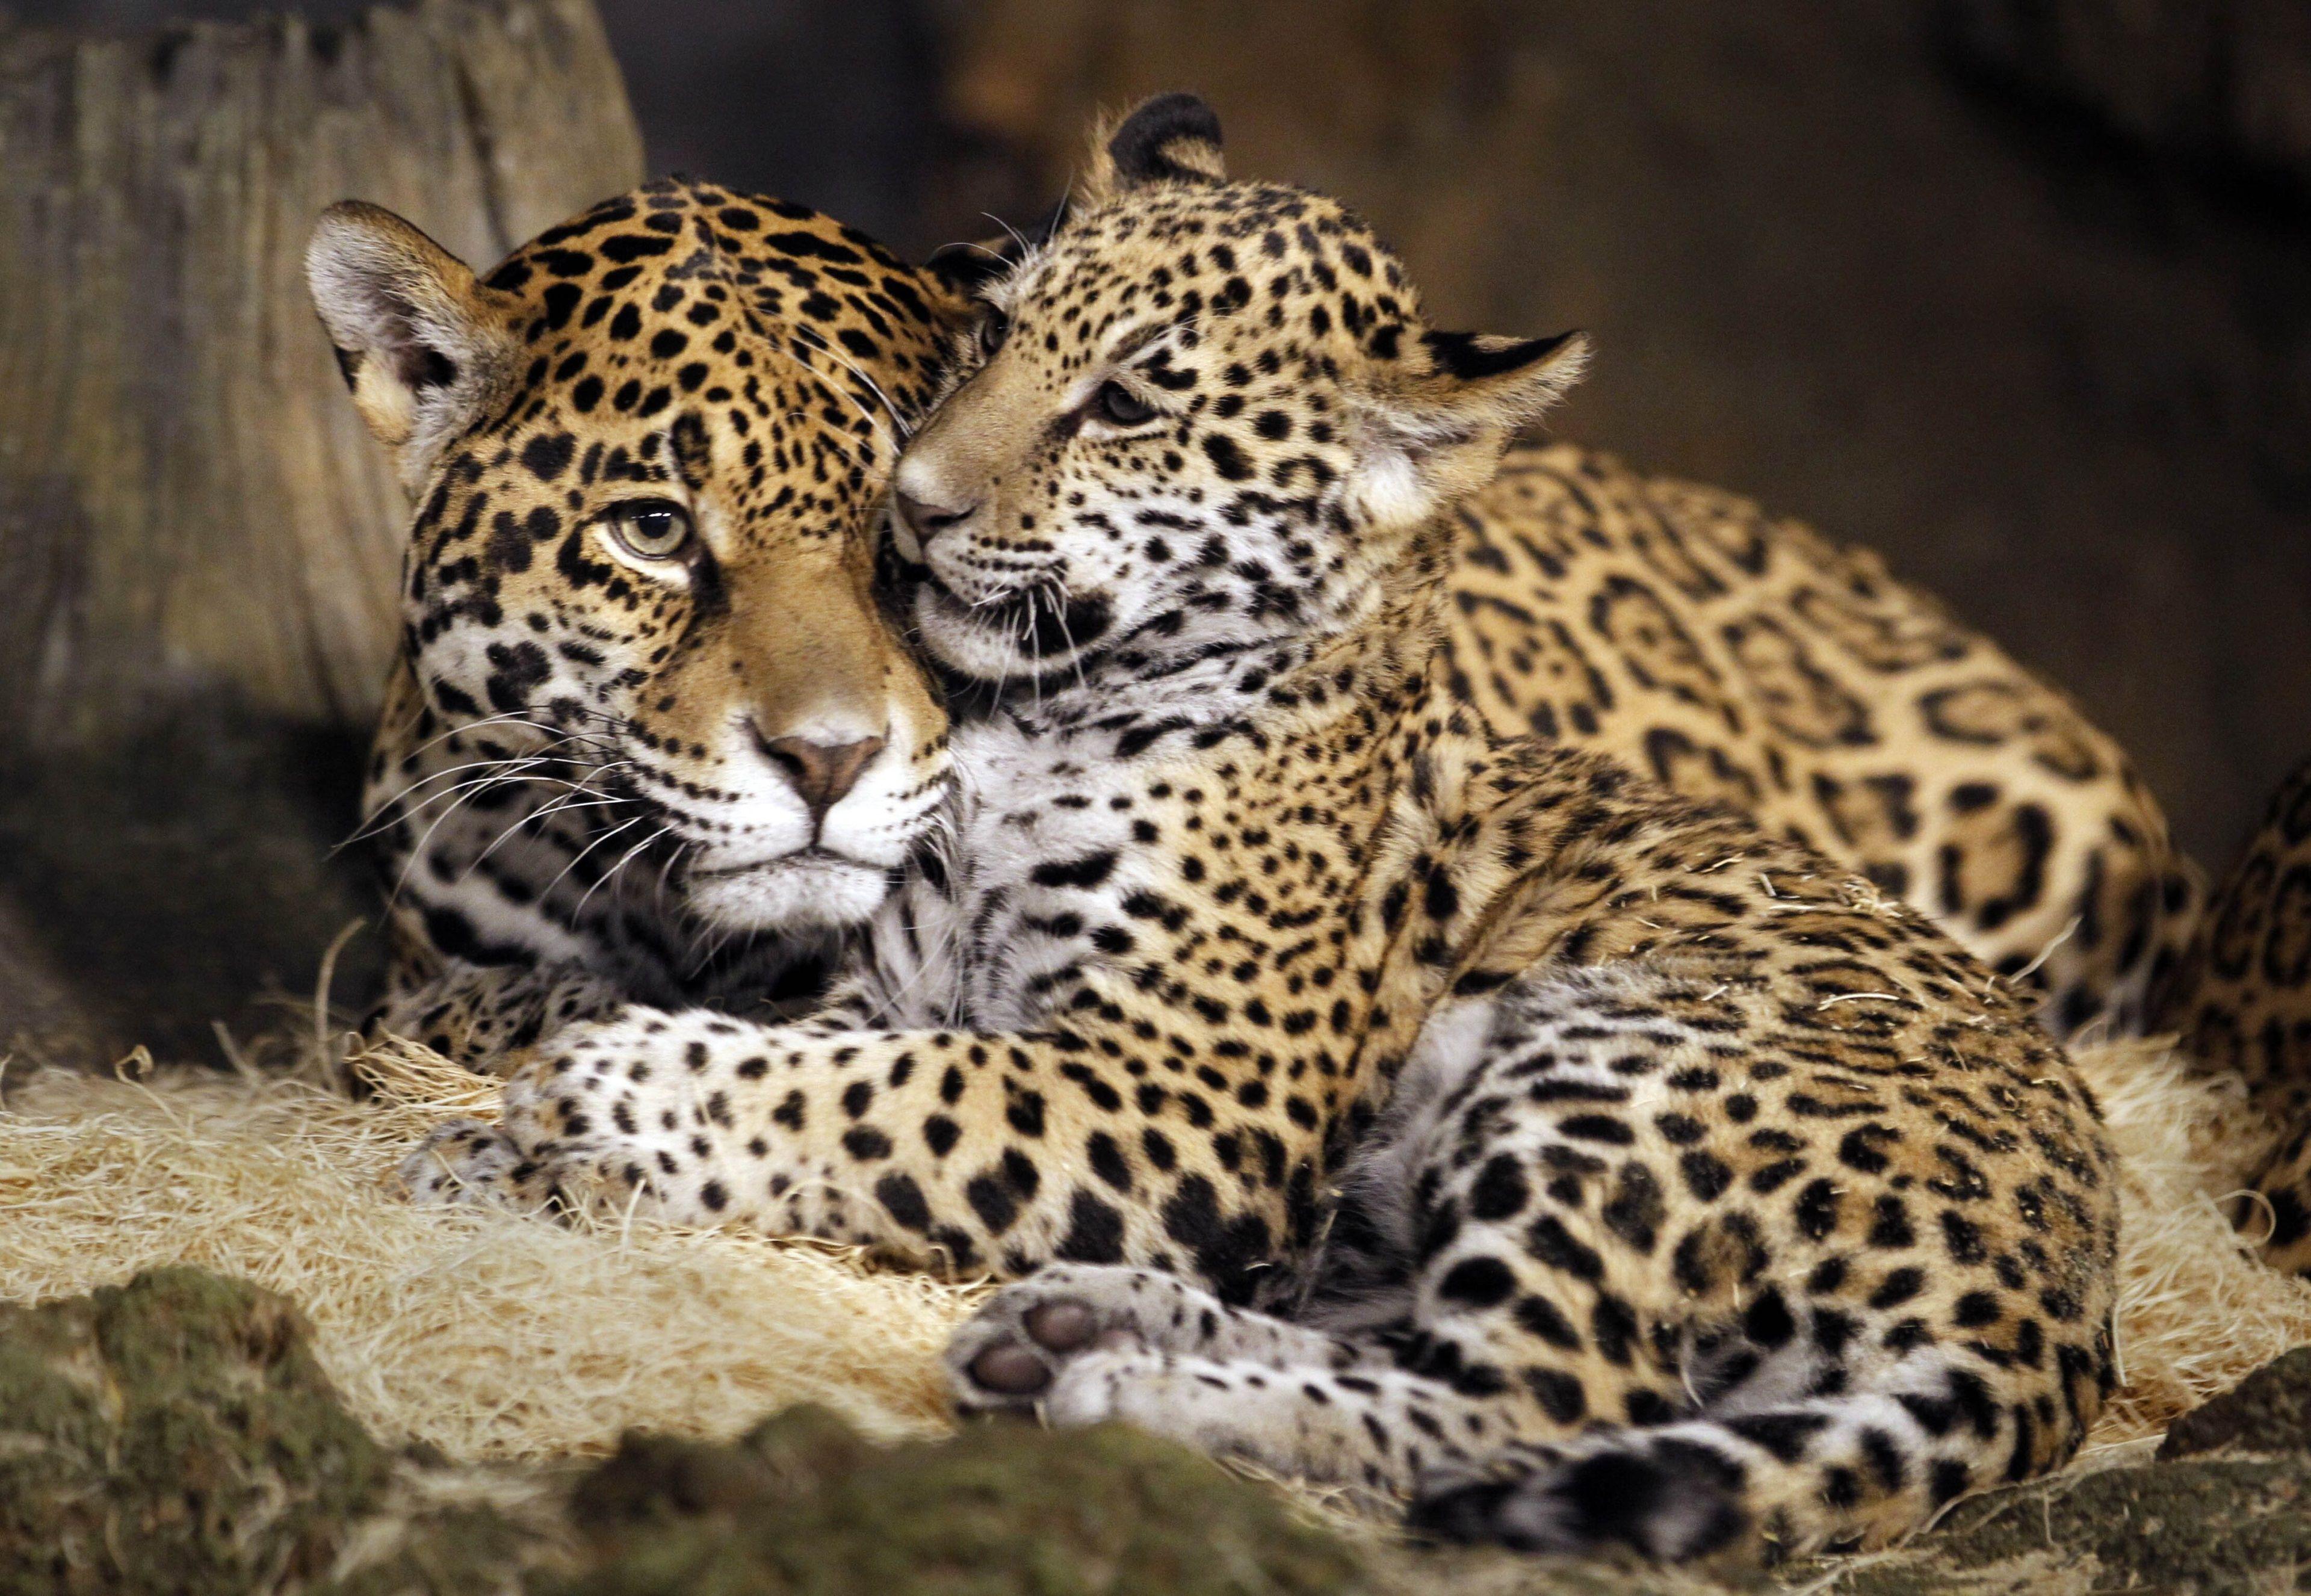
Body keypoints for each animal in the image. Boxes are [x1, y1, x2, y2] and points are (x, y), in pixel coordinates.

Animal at [406, 96, 2120, 1566]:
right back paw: (1075, 1326)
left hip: (1617, 1065)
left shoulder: (1185, 1085)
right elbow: (817, 1061)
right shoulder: (895, 977)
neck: (1047, 710)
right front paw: (495, 1145)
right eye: (994, 336)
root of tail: (2065, 1295)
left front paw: (598, 1081)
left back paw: (1124, 1382)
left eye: (1126, 402)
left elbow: (873, 1094)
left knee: (1531, 1404)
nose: (914, 506)